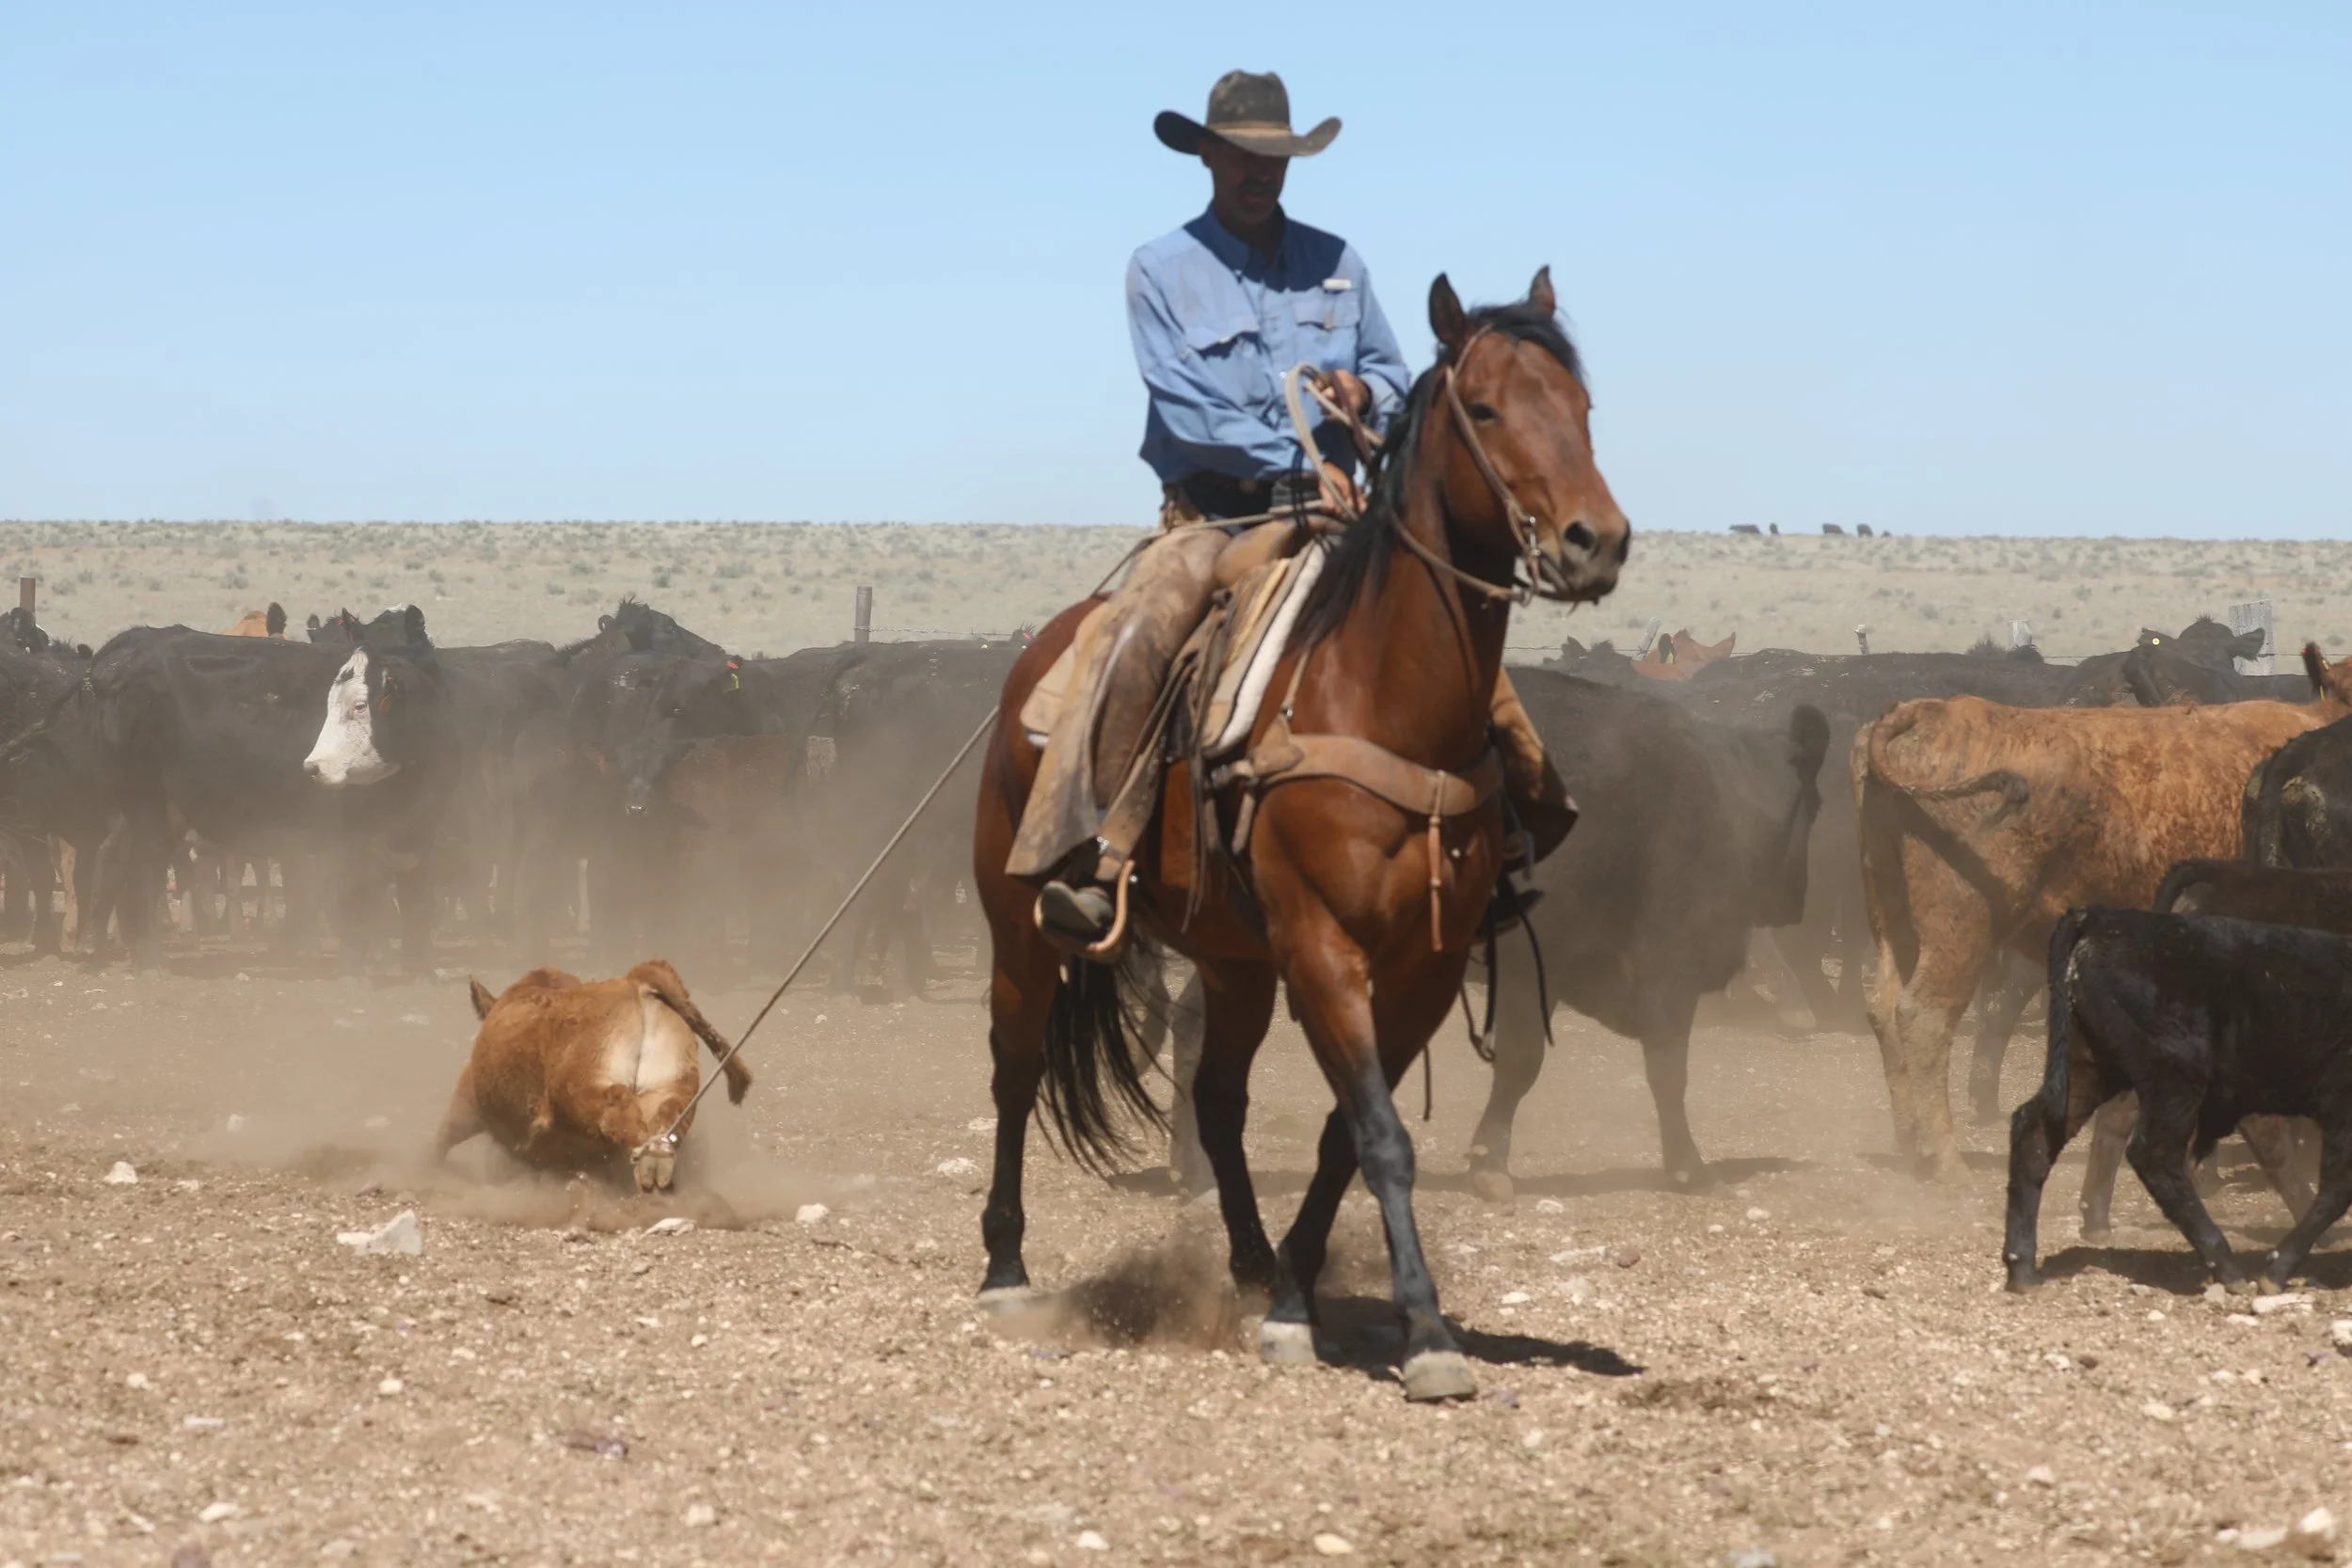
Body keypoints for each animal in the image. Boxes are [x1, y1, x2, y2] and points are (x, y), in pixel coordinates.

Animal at [970, 269, 1630, 1401]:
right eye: (1487, 408)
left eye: (1583, 408)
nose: (1598, 540)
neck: (1378, 695)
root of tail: (1040, 657)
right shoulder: (1324, 947)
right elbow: (1379, 1134)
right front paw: (1425, 1333)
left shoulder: (1422, 965)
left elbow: (1340, 1138)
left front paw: (1289, 1298)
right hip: (1019, 918)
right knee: (1015, 1065)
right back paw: (1006, 1267)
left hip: (1234, 960)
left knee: (1215, 1098)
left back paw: (1243, 1262)